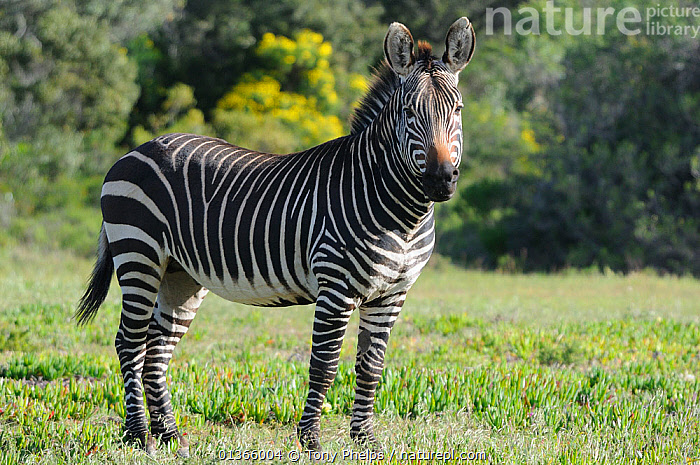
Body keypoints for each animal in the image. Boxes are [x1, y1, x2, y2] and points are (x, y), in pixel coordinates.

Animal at [76, 17, 475, 456]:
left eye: (457, 109)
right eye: (408, 112)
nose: (440, 179)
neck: (401, 215)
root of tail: (136, 149)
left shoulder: (392, 294)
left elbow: (370, 366)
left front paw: (365, 441)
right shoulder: (336, 288)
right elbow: (324, 364)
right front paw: (312, 441)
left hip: (180, 274)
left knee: (156, 349)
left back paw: (169, 436)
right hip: (139, 255)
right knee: (129, 342)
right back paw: (137, 436)